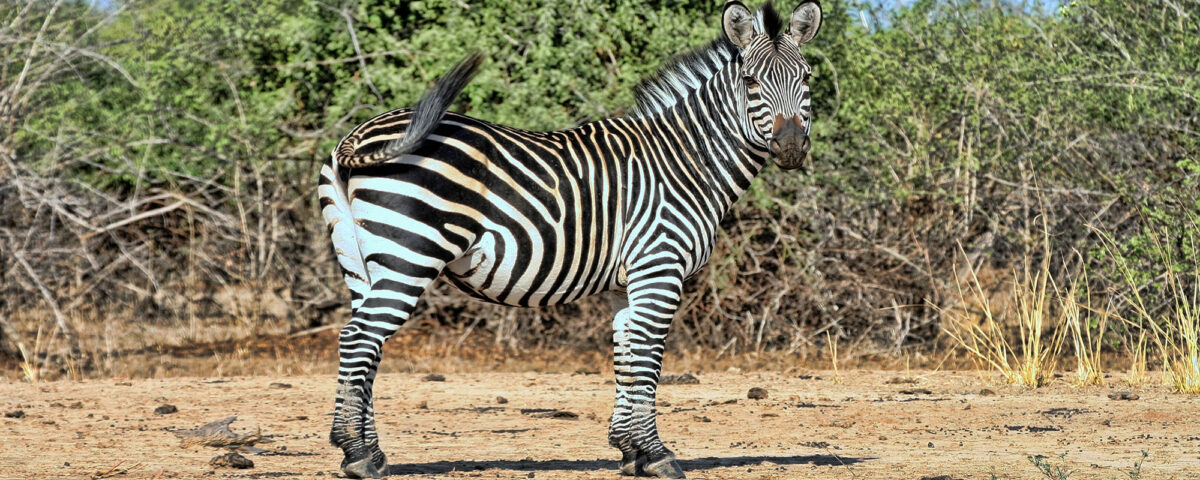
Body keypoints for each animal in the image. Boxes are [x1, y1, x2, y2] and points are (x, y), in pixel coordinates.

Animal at [318, 1, 822, 478]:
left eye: (806, 78)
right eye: (751, 82)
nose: (791, 148)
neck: (686, 160)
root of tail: (356, 137)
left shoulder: (628, 283)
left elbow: (627, 353)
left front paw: (630, 451)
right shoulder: (659, 267)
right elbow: (650, 357)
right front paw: (657, 455)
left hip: (361, 262)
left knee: (364, 345)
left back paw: (366, 452)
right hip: (410, 253)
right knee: (359, 338)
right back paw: (358, 455)